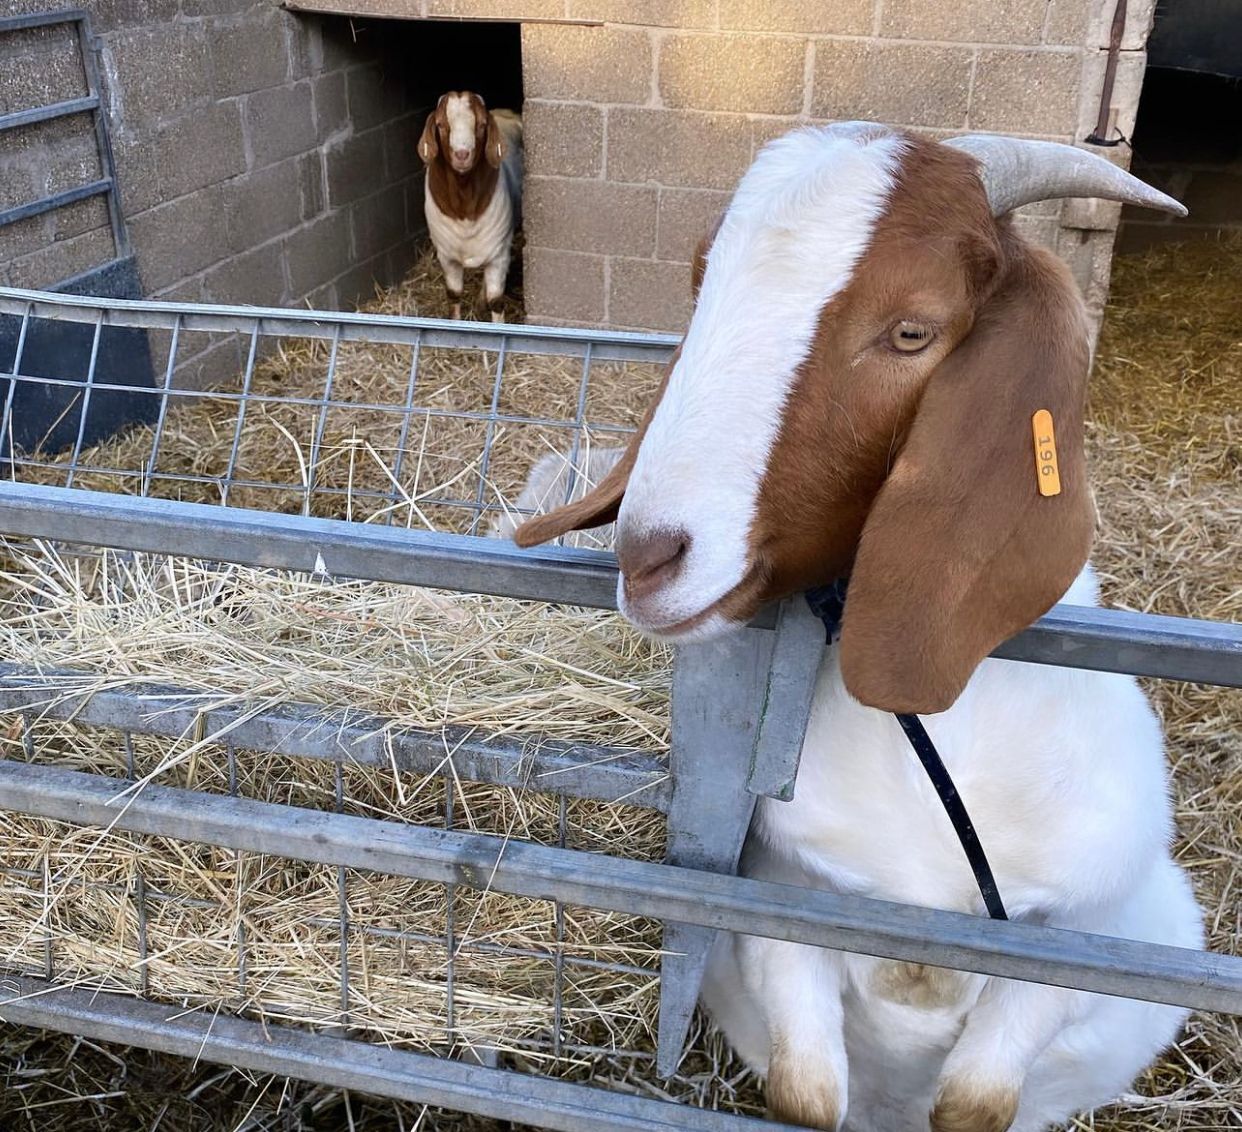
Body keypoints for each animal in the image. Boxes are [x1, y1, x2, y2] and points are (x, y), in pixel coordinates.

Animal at [419, 91, 522, 322]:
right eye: (440, 125)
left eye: (482, 125)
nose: (462, 154)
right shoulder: (446, 255)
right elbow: (454, 294)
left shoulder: (499, 252)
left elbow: (496, 300)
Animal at [510, 124, 1202, 1132]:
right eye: (702, 281)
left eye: (912, 330)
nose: (646, 556)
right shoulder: (781, 911)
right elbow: (807, 1093)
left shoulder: (1076, 946)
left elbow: (976, 1107)